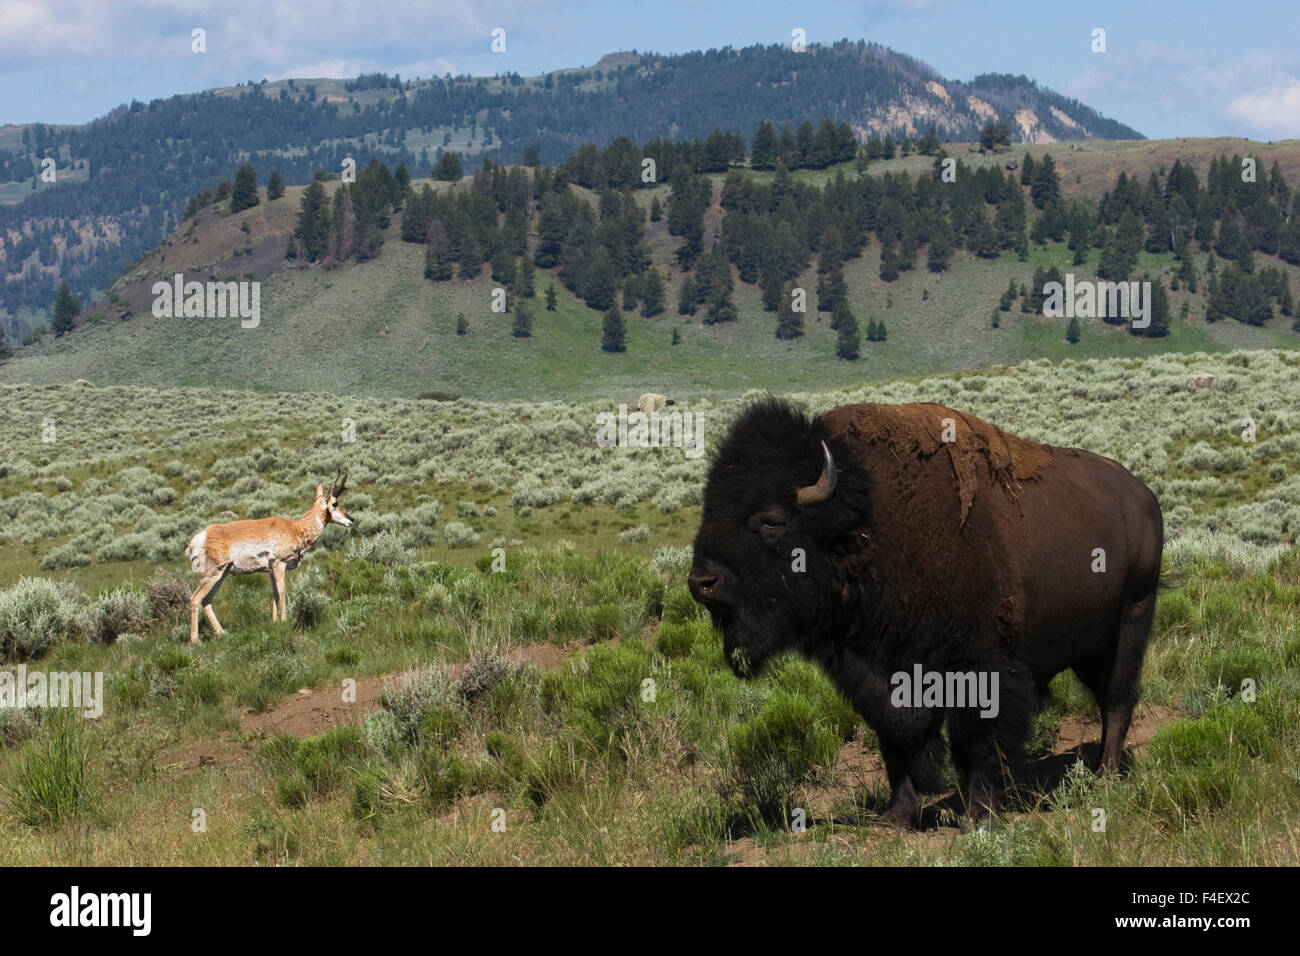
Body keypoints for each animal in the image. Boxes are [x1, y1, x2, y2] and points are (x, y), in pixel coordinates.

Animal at [185, 473, 354, 643]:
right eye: (335, 503)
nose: (352, 519)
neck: (296, 529)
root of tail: (200, 537)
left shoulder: (271, 571)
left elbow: (274, 595)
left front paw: (275, 621)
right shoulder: (280, 564)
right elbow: (282, 591)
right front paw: (285, 621)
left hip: (222, 574)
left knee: (206, 601)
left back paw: (222, 633)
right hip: (212, 573)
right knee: (195, 599)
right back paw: (196, 640)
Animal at [688, 399, 1163, 829]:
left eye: (771, 519)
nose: (701, 582)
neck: (866, 526)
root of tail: (1144, 497)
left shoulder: (980, 669)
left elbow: (977, 741)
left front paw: (979, 817)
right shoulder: (876, 676)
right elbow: (894, 742)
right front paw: (895, 817)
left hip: (1132, 620)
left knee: (1118, 699)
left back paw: (1105, 776)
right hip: (1087, 646)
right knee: (1106, 696)